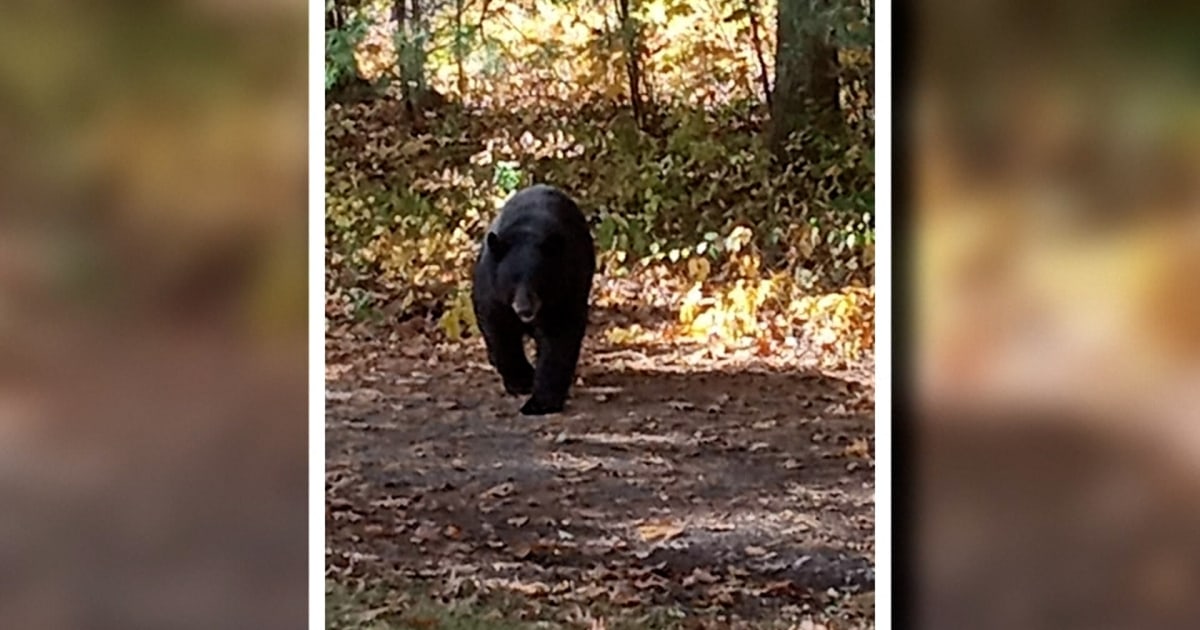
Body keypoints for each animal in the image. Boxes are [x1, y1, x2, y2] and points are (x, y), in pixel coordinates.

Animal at [471, 184, 596, 416]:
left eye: (539, 279)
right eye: (511, 280)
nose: (525, 309)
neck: (528, 234)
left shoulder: (565, 290)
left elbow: (559, 339)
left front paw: (540, 402)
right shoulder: (492, 291)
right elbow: (499, 331)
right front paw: (520, 381)